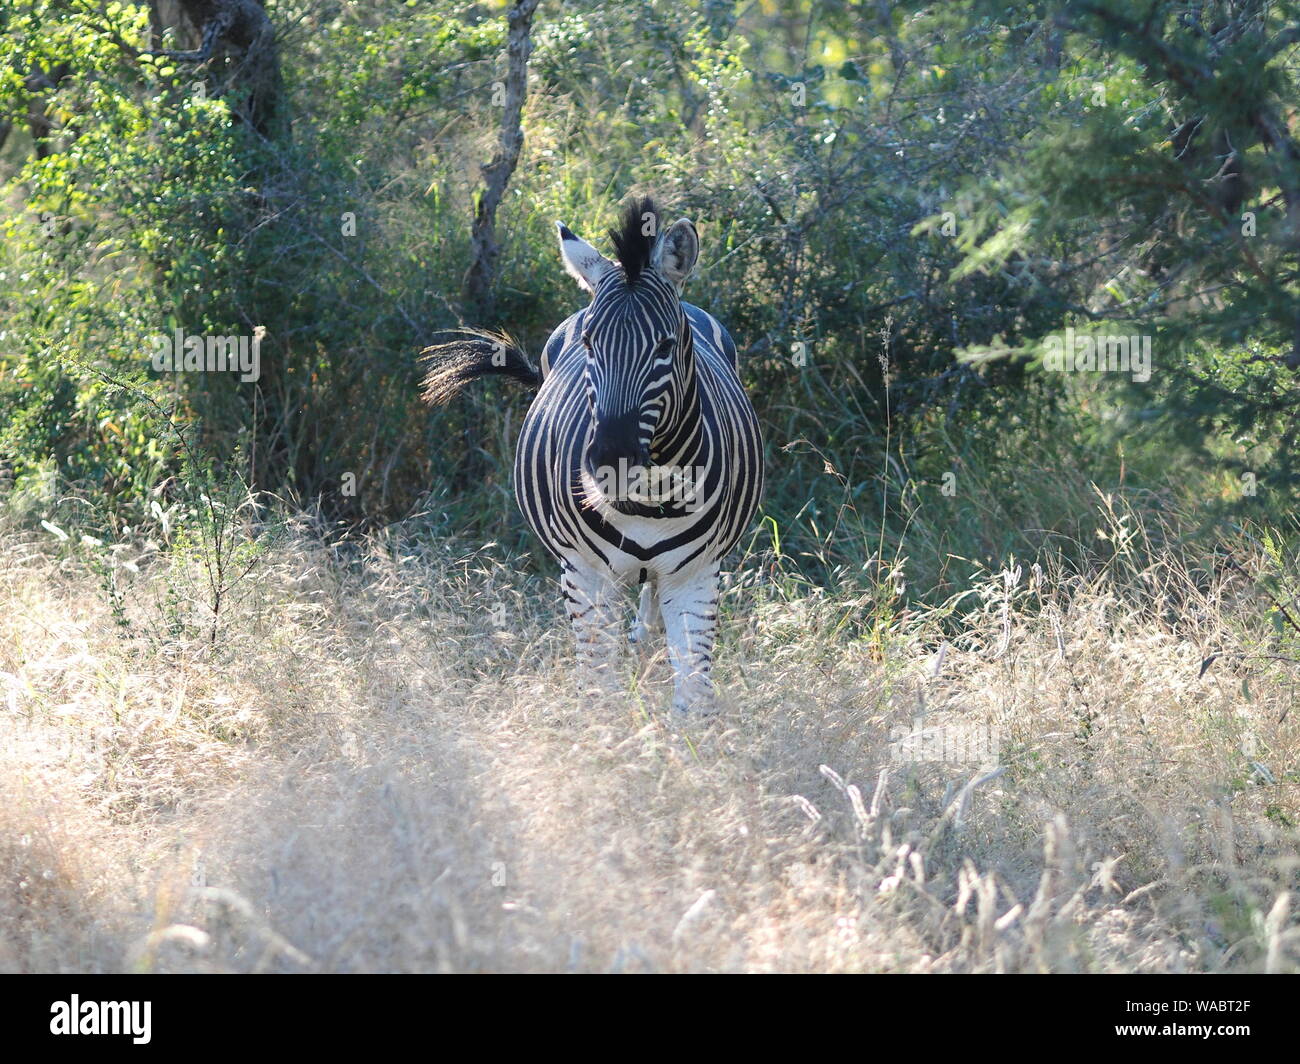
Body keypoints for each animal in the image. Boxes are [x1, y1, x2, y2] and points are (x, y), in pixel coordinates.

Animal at [422, 197, 763, 714]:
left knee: (648, 620)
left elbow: (693, 696)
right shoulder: (586, 575)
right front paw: (605, 732)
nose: (611, 463)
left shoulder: (697, 576)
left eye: (665, 346)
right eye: (589, 342)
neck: (650, 501)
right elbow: (599, 688)